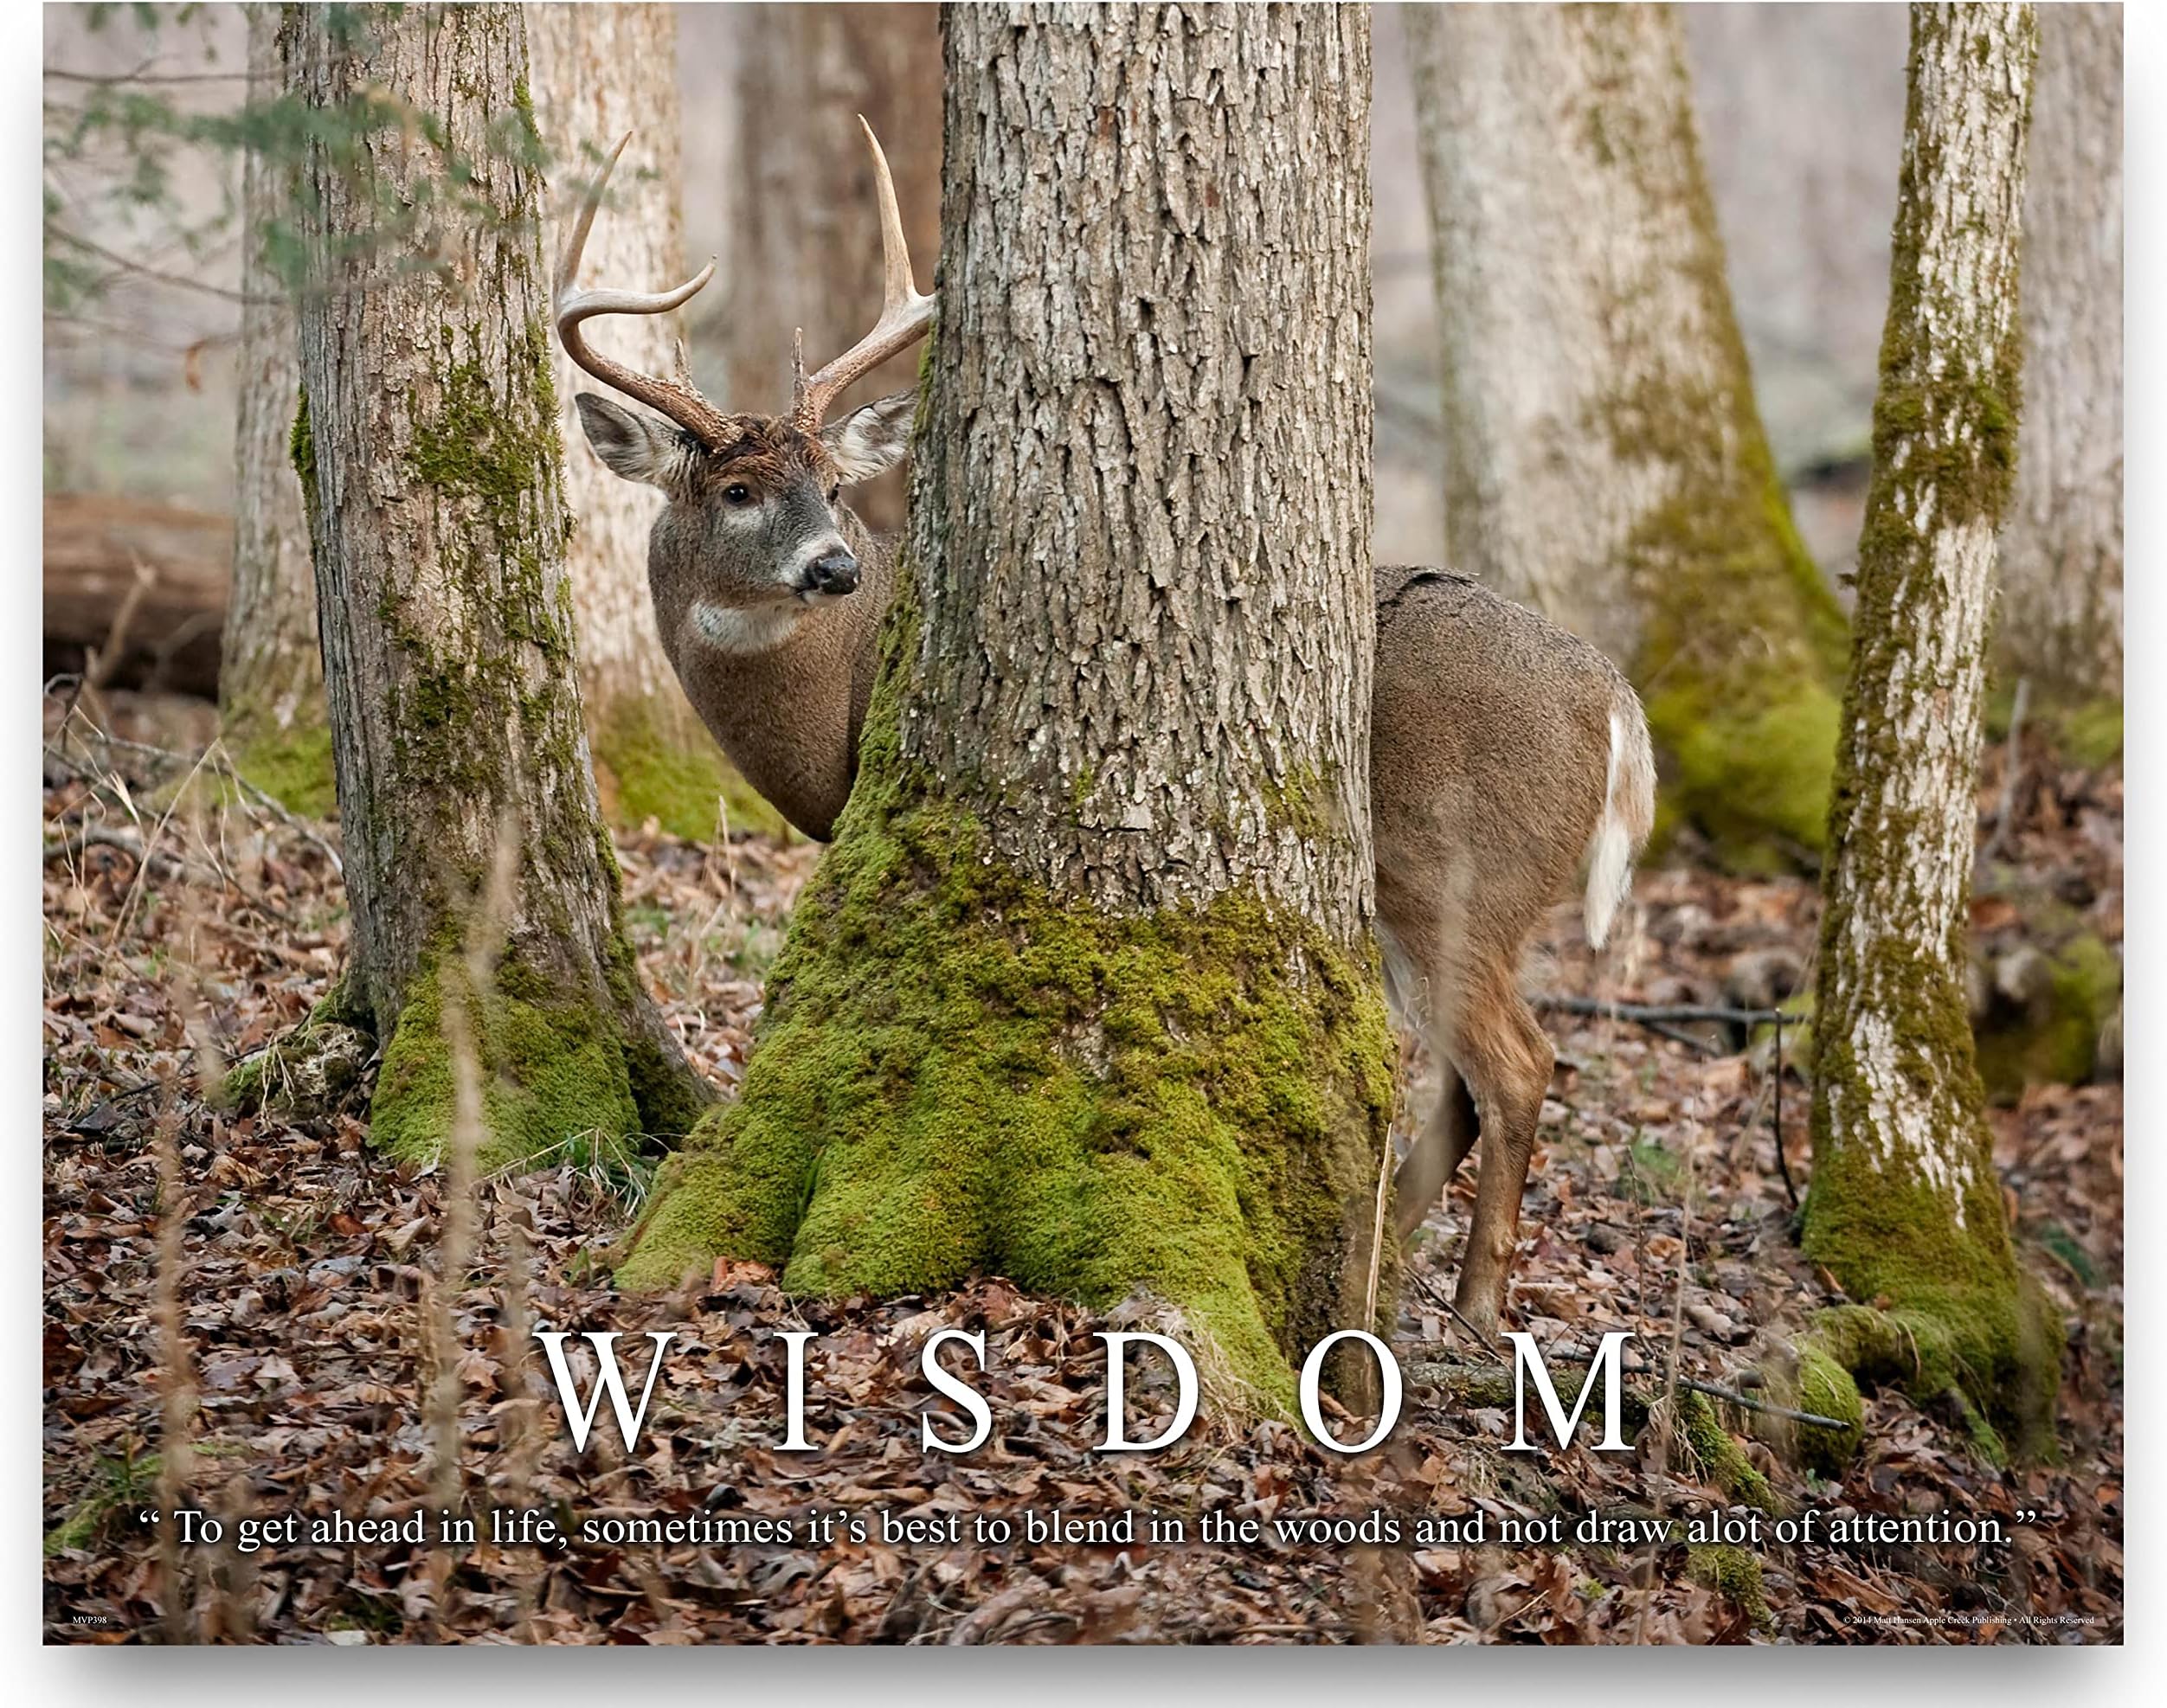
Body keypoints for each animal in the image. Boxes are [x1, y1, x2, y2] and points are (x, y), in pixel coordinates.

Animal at [553, 124, 1656, 1345]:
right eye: (739, 490)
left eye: (834, 485)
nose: (832, 565)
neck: (830, 704)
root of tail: (1615, 707)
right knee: (1469, 1082)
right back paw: (1385, 1267)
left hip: (1453, 876)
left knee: (1516, 1065)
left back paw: (1469, 1305)